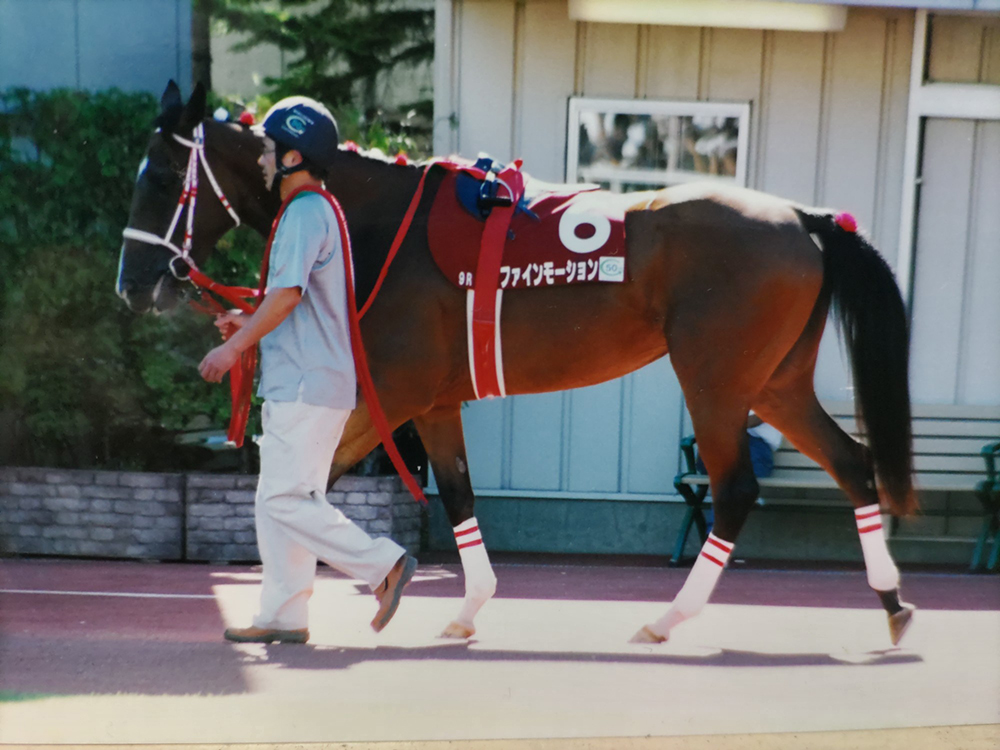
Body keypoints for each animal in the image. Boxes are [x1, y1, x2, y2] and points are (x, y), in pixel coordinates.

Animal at [118, 81, 917, 645]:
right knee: (853, 464)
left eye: (159, 176)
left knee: (736, 490)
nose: (132, 283)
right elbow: (459, 497)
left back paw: (667, 620)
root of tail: (805, 219)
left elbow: (308, 488)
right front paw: (464, 609)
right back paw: (893, 605)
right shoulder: (435, 402)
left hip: (715, 381)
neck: (376, 221)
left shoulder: (392, 393)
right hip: (775, 383)